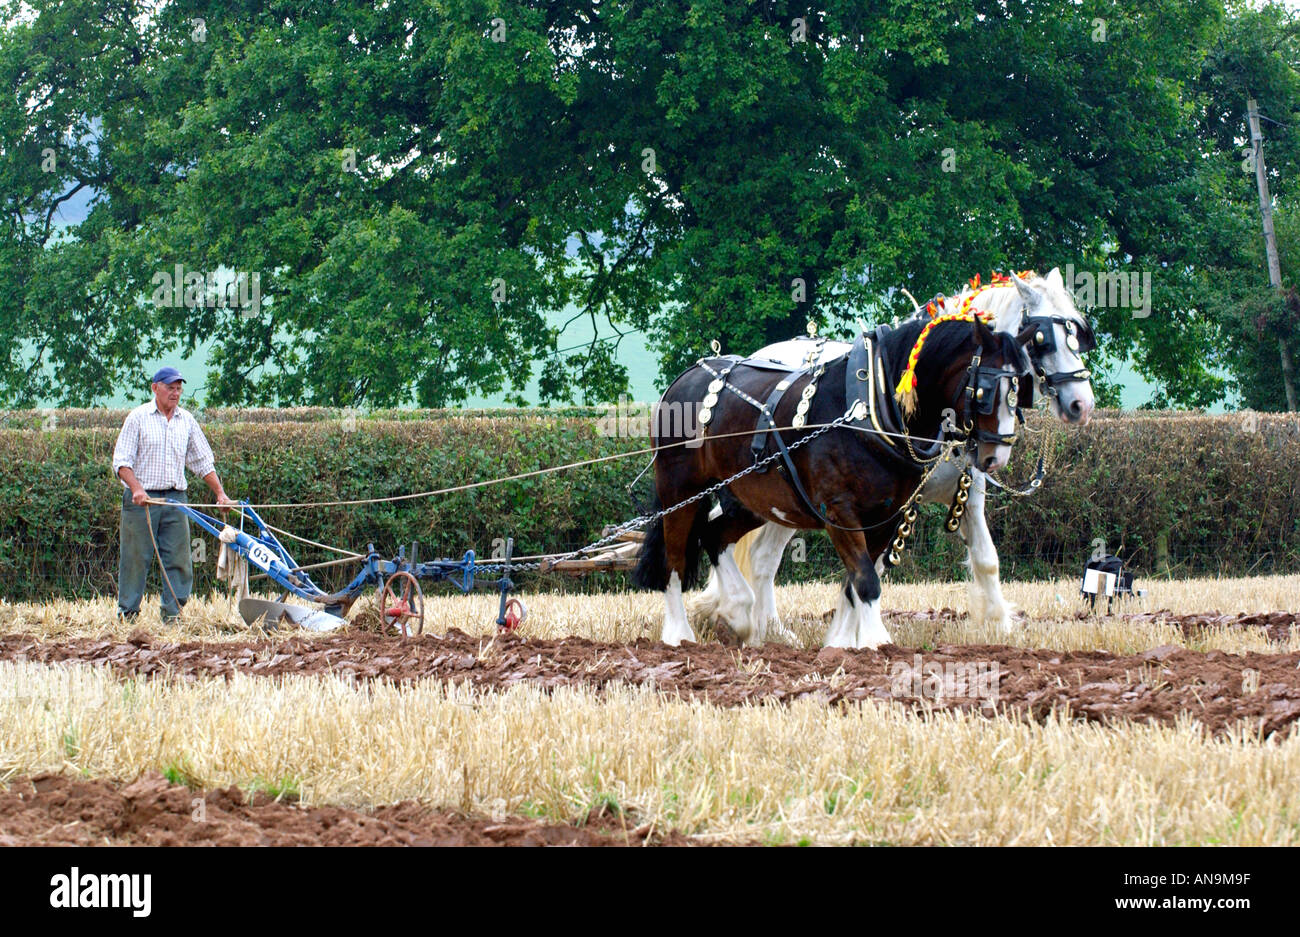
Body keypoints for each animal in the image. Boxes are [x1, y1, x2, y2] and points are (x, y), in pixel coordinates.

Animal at [631, 312, 1035, 648]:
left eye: (1022, 389)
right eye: (984, 392)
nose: (995, 457)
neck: (870, 409)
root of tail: (684, 379)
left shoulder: (885, 516)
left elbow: (857, 581)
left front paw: (841, 644)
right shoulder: (840, 511)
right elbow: (867, 579)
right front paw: (876, 642)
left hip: (752, 500)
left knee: (714, 536)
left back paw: (740, 615)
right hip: (680, 492)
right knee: (674, 560)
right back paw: (679, 634)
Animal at [692, 269, 1096, 645]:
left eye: (1078, 334)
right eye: (1044, 340)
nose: (1082, 404)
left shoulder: (967, 492)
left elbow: (986, 559)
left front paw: (999, 625)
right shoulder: (885, 504)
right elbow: (871, 567)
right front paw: (850, 635)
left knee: (760, 554)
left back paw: (763, 626)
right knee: (761, 555)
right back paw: (751, 621)